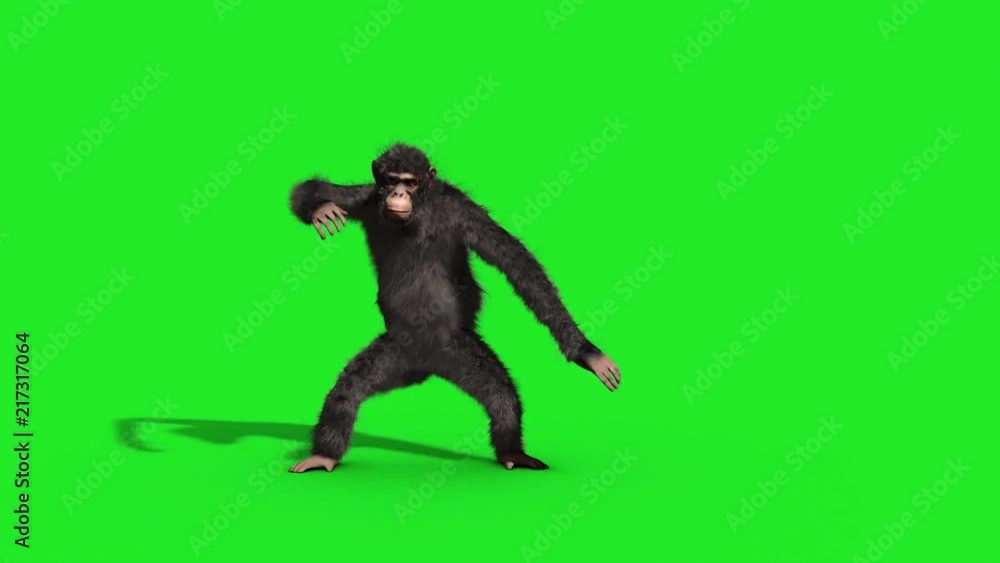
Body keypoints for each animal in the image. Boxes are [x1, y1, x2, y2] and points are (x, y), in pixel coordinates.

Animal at [287, 143, 620, 473]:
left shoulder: (461, 210)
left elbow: (515, 261)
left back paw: (512, 450)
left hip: (459, 351)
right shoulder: (367, 199)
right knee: (347, 392)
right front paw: (321, 209)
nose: (398, 194)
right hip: (394, 354)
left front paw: (588, 354)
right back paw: (325, 454)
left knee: (501, 395)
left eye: (411, 182)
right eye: (391, 180)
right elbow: (317, 190)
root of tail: (424, 367)